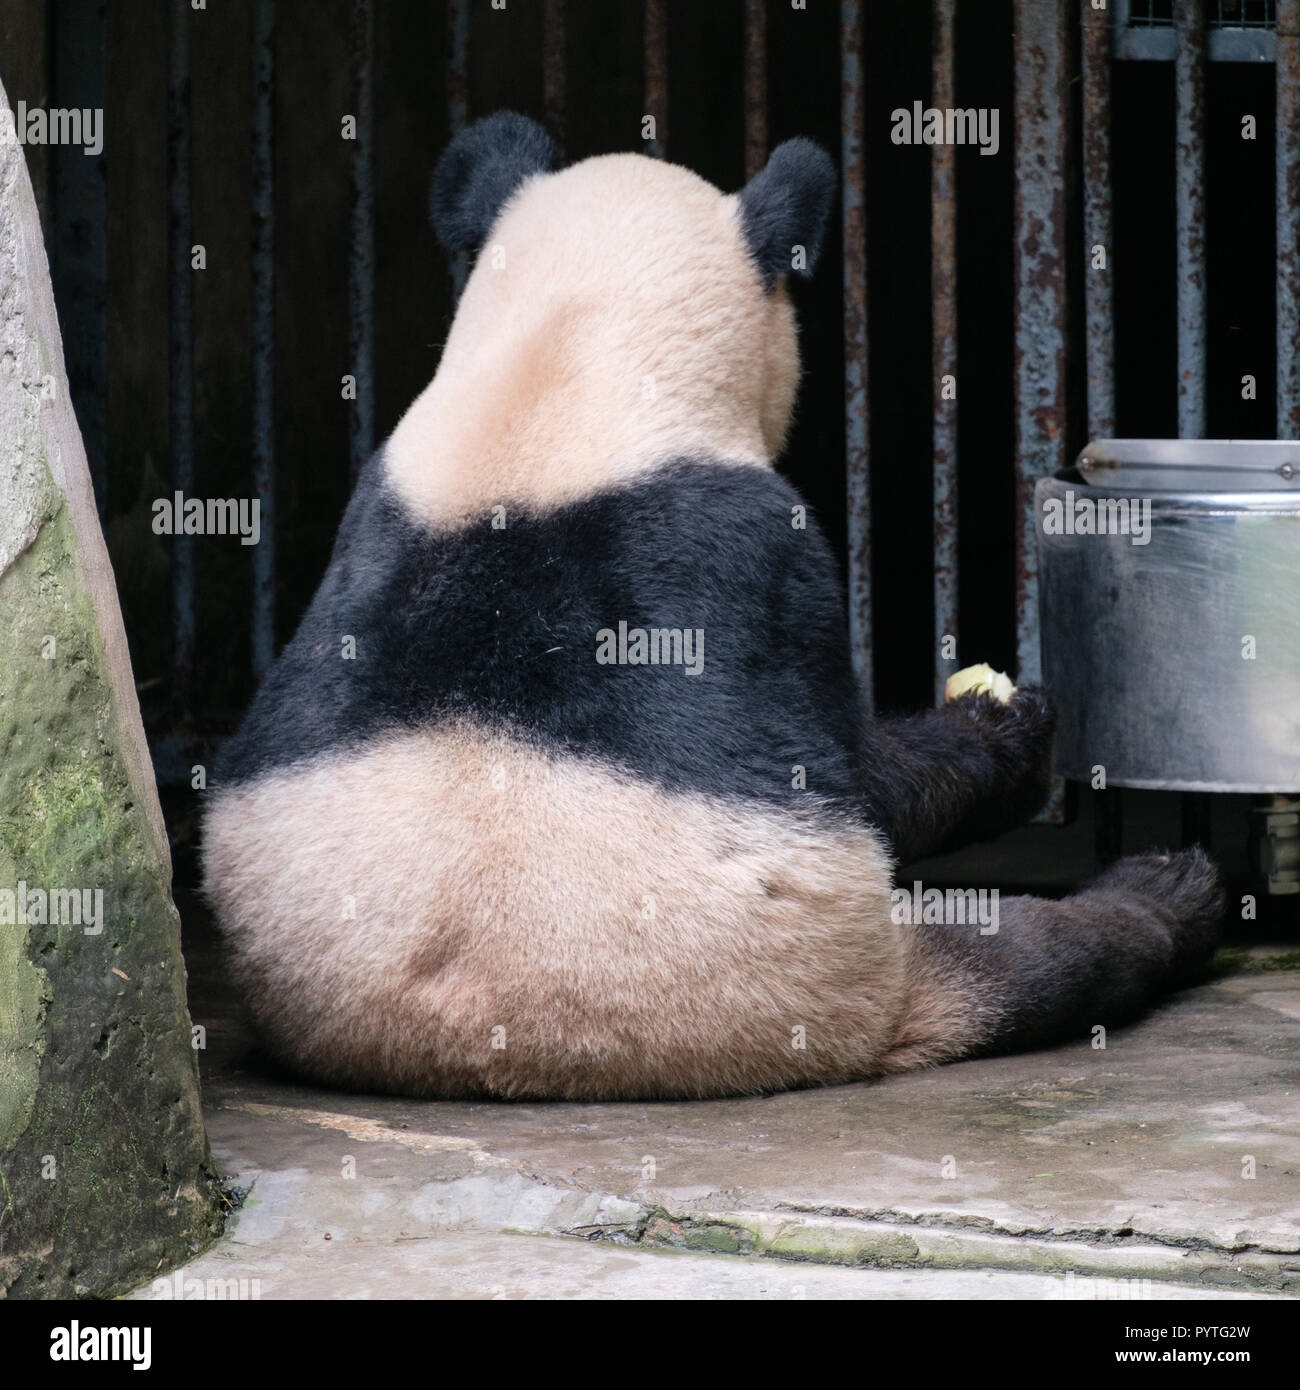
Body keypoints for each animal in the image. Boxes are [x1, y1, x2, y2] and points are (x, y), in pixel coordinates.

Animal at [202, 112, 1223, 1102]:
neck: (564, 365)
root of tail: (490, 1052)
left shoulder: (379, 520)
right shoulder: (759, 557)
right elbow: (854, 777)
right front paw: (1001, 728)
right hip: (833, 978)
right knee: (1034, 961)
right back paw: (1163, 894)